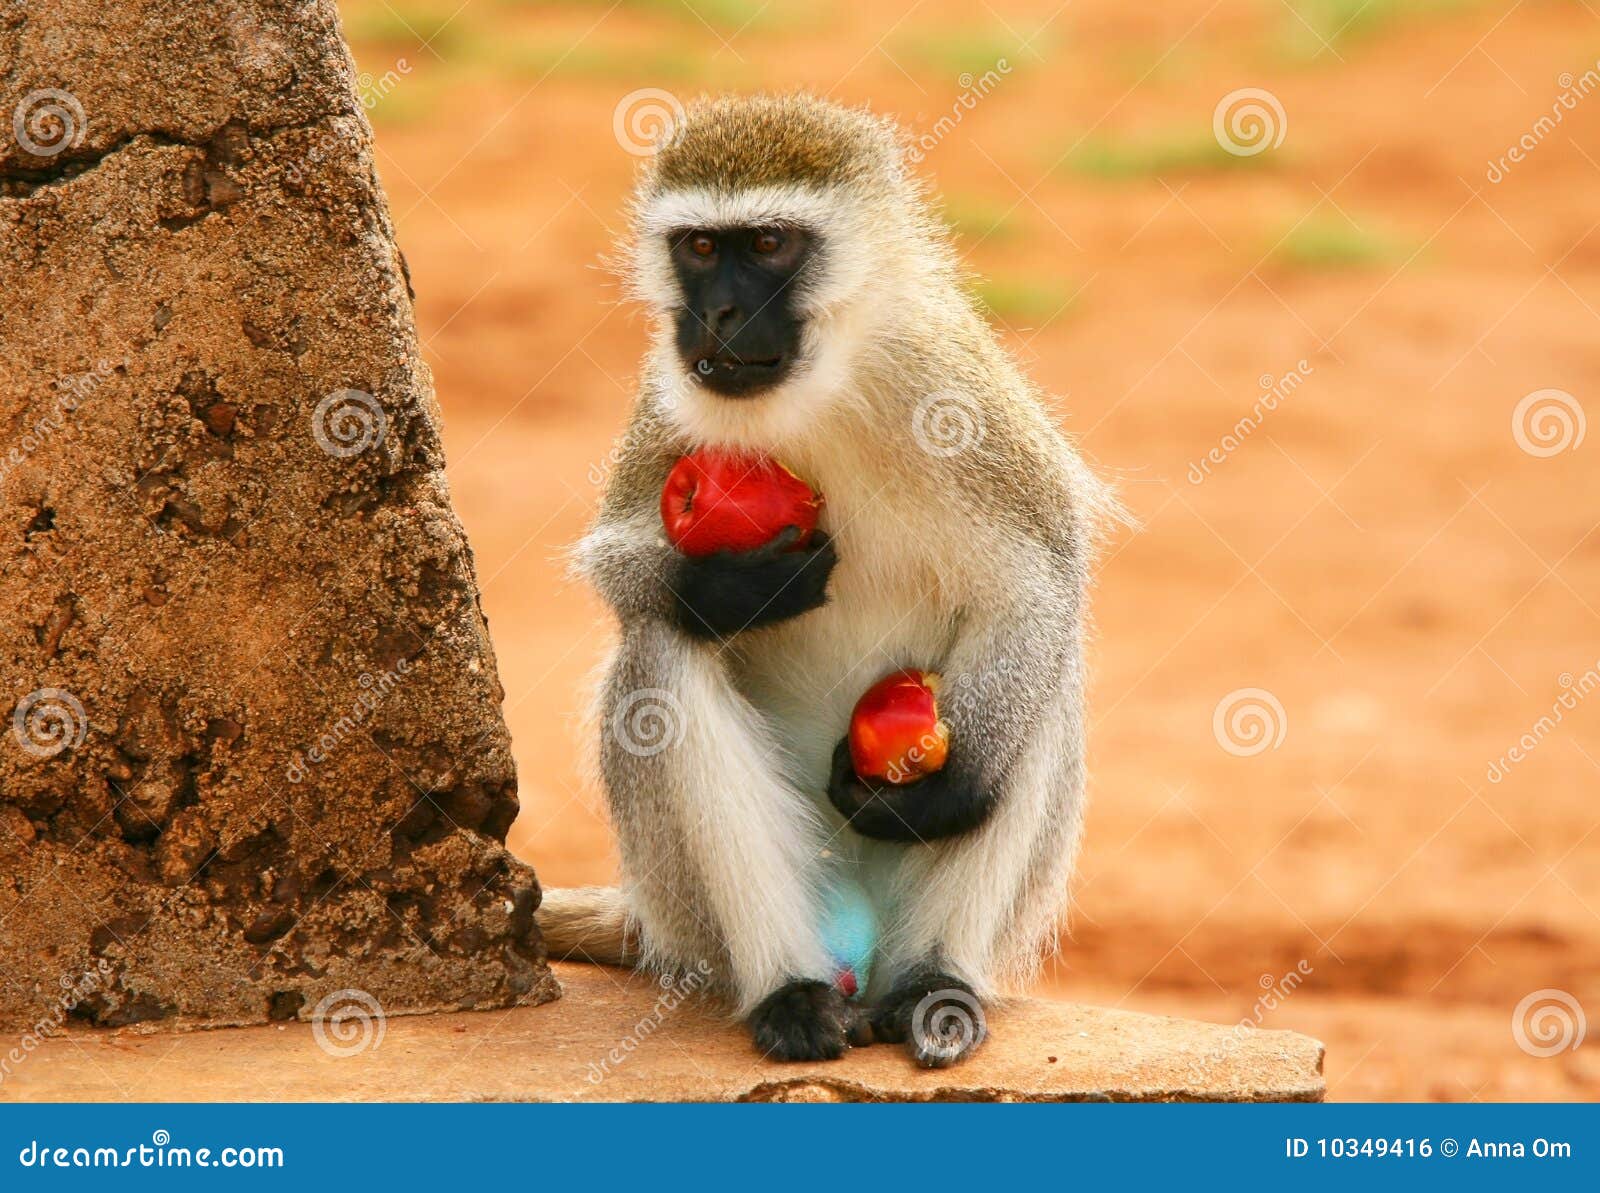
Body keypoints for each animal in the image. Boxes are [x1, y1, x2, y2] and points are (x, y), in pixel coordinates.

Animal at [540, 94, 1112, 1068]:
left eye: (770, 243)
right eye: (700, 248)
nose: (720, 313)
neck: (820, 385)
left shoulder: (947, 374)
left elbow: (1042, 571)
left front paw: (953, 789)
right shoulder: (669, 389)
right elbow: (614, 561)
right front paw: (733, 590)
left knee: (1045, 683)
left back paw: (933, 988)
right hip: (702, 907)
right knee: (663, 654)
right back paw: (793, 992)